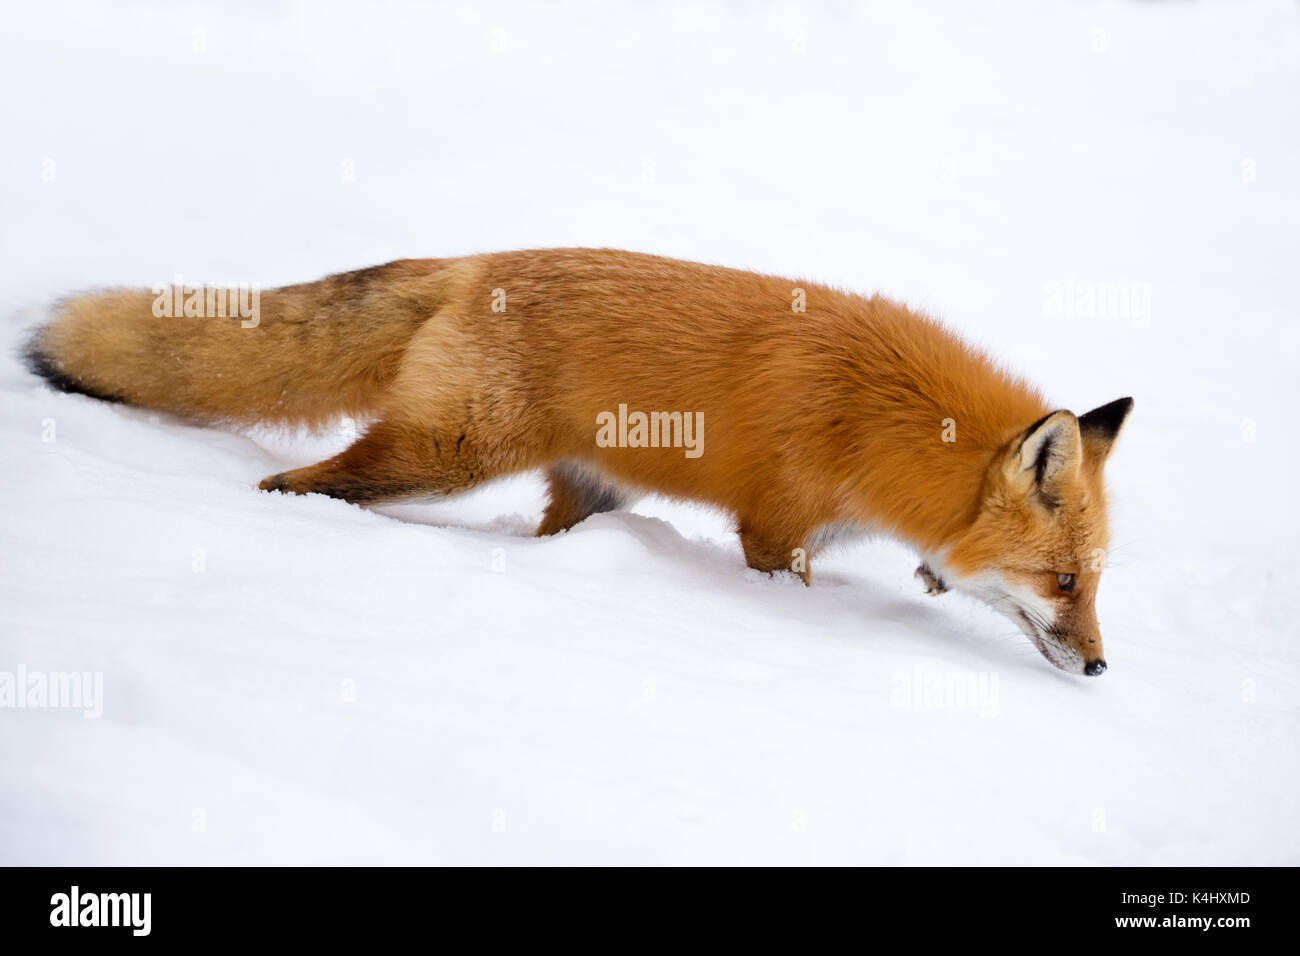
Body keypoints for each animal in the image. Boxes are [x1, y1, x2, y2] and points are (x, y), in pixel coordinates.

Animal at [24, 248, 1132, 675]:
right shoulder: (773, 530)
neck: (880, 422)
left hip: (583, 490)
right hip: (442, 455)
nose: (1098, 665)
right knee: (292, 482)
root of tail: (470, 262)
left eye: (1093, 583)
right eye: (1061, 582)